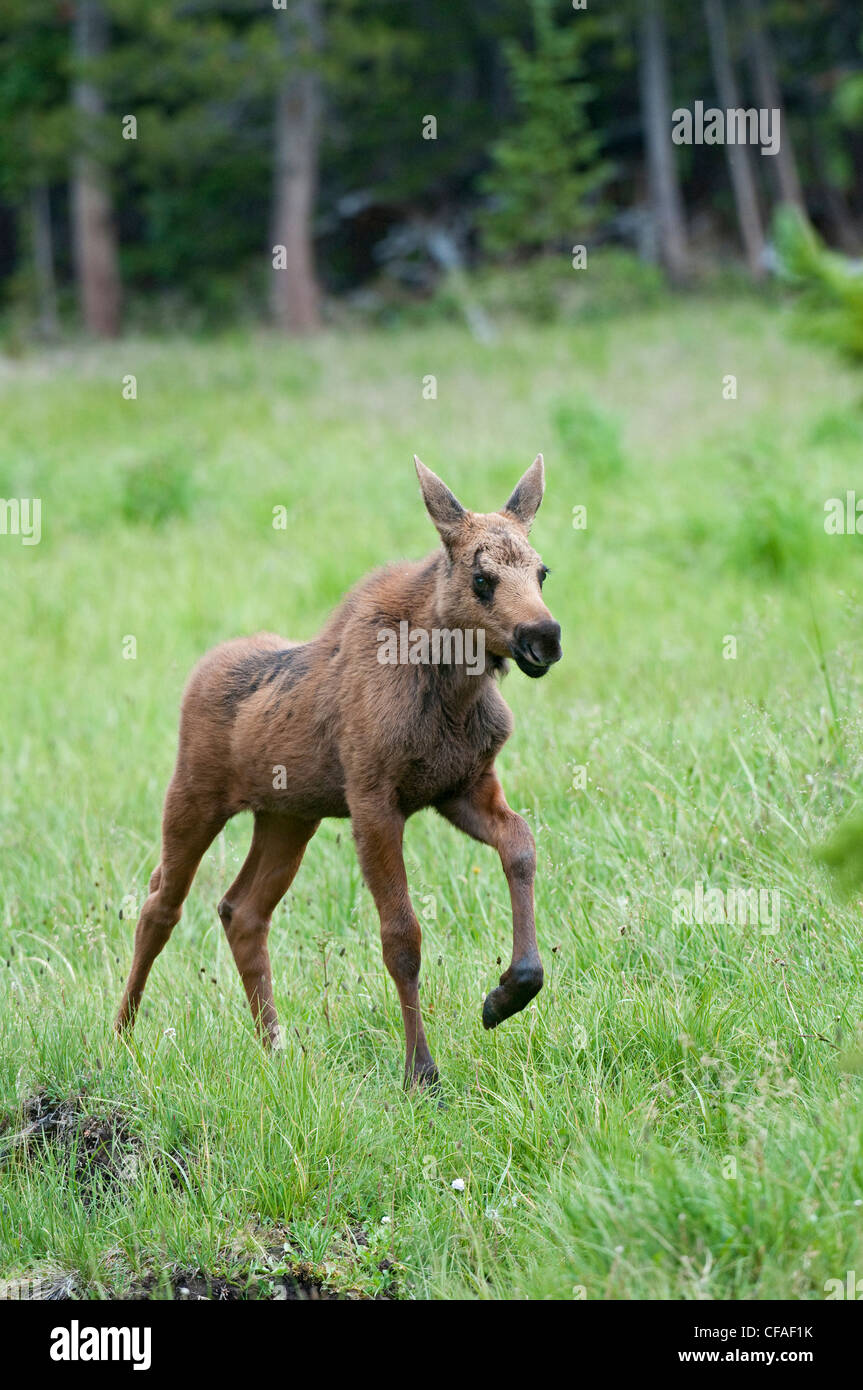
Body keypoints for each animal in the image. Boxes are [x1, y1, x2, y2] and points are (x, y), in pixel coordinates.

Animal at [115, 455, 562, 1087]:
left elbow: (521, 846)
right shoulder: (374, 800)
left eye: (542, 572)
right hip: (193, 797)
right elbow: (401, 937)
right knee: (159, 904)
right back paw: (120, 1037)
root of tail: (198, 674)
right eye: (482, 578)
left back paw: (274, 1047)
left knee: (241, 911)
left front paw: (506, 995)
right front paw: (422, 1072)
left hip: (287, 817)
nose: (542, 636)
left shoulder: (463, 788)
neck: (454, 689)